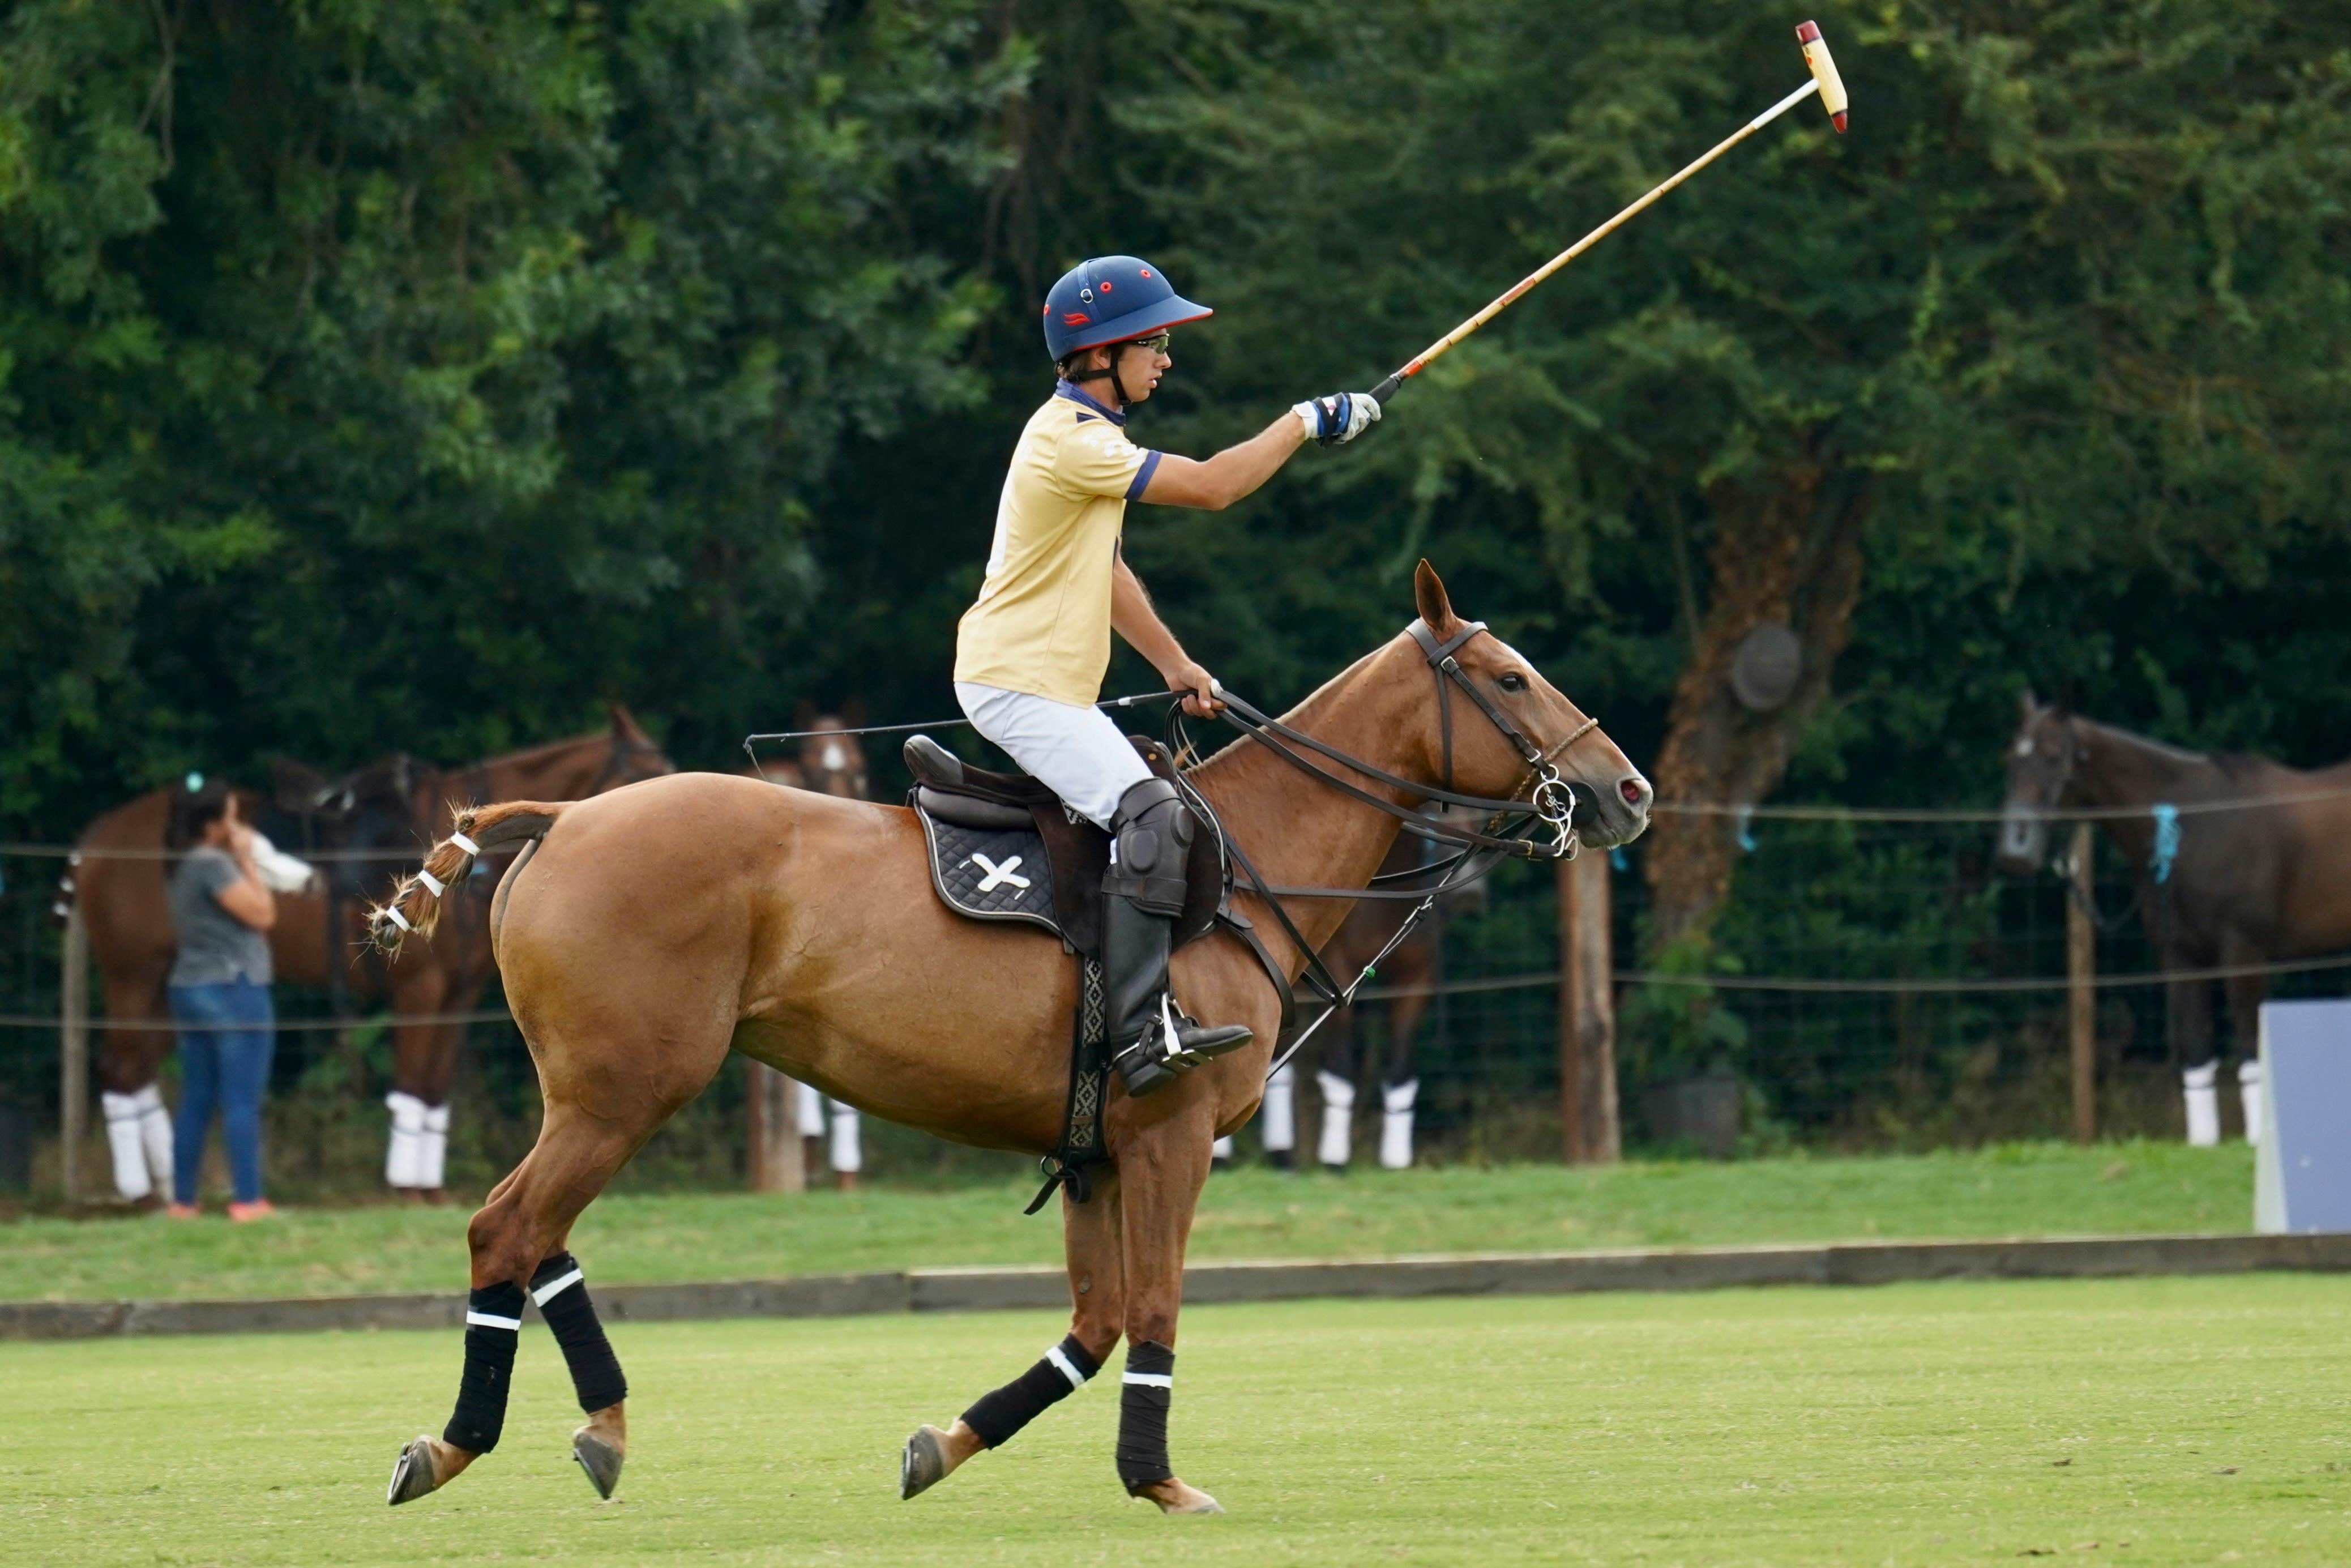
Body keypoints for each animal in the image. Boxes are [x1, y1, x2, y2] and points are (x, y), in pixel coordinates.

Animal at [68, 708, 672, 1203]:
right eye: (648, 770)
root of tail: (95, 839)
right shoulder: (420, 990)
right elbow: (411, 1082)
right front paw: (404, 1186)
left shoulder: (457, 994)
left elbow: (433, 1086)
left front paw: (428, 1188)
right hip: (133, 975)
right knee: (120, 1067)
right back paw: (144, 1194)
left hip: (165, 987)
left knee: (135, 1068)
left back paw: (164, 1186)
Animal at [1265, 816, 1487, 1170]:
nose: (1469, 894)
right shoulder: (1340, 975)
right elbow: (1341, 1069)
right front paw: (1335, 1161)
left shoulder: (1416, 980)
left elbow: (1400, 1069)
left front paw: (1396, 1161)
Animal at [1995, 692, 2351, 1143]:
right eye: (2011, 757)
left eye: (2055, 755)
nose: (2015, 850)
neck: (2197, 825)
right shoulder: (2180, 955)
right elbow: (2196, 1048)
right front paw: (2203, 1144)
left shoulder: (2244, 953)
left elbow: (2249, 1043)